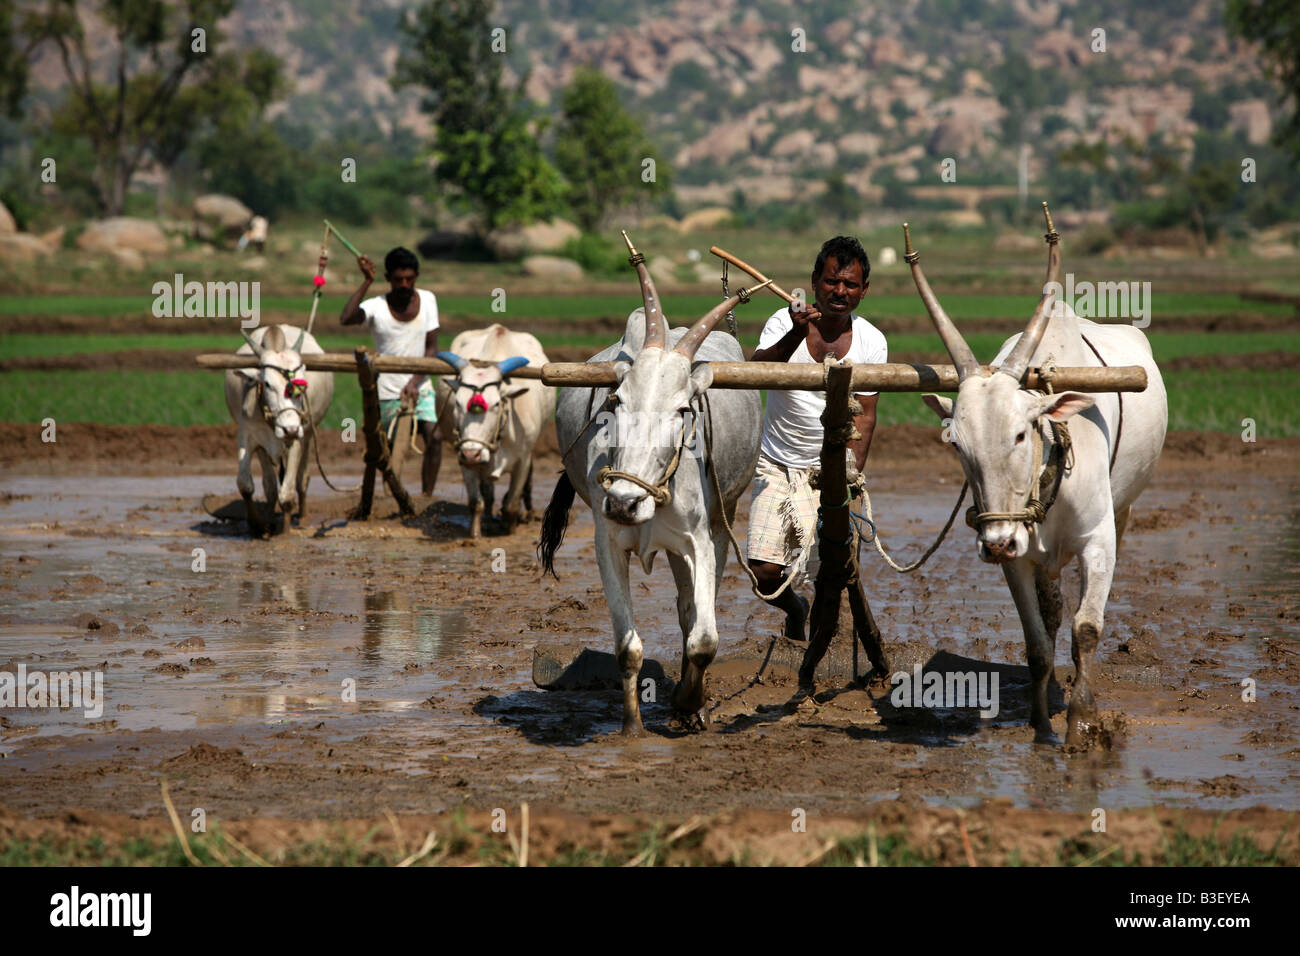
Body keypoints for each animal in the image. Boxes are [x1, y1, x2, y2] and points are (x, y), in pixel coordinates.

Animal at [223, 324, 334, 537]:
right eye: (267, 384)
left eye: (302, 384)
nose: (289, 429)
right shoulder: (248, 437)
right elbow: (246, 485)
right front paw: (259, 525)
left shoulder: (297, 440)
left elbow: (287, 494)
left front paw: (284, 533)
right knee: (270, 487)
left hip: (308, 435)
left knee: (301, 480)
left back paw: (303, 515)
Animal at [434, 325, 555, 538]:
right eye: (457, 402)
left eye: (497, 403)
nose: (471, 453)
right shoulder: (463, 458)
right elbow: (476, 502)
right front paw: (475, 535)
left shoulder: (523, 461)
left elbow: (511, 505)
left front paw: (511, 529)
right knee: (488, 491)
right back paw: (490, 519)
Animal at [539, 238, 770, 735]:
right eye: (616, 401)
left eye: (683, 410)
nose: (625, 502)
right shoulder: (608, 542)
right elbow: (628, 648)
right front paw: (632, 729)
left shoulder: (698, 541)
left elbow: (703, 637)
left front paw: (689, 703)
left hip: (720, 523)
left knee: (690, 612)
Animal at [906, 207, 1167, 750]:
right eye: (956, 443)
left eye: (1022, 433)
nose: (997, 541)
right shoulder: (1017, 559)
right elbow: (1037, 642)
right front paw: (1042, 723)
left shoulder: (1098, 540)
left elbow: (1086, 629)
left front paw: (1083, 721)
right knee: (1051, 612)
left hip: (1125, 510)